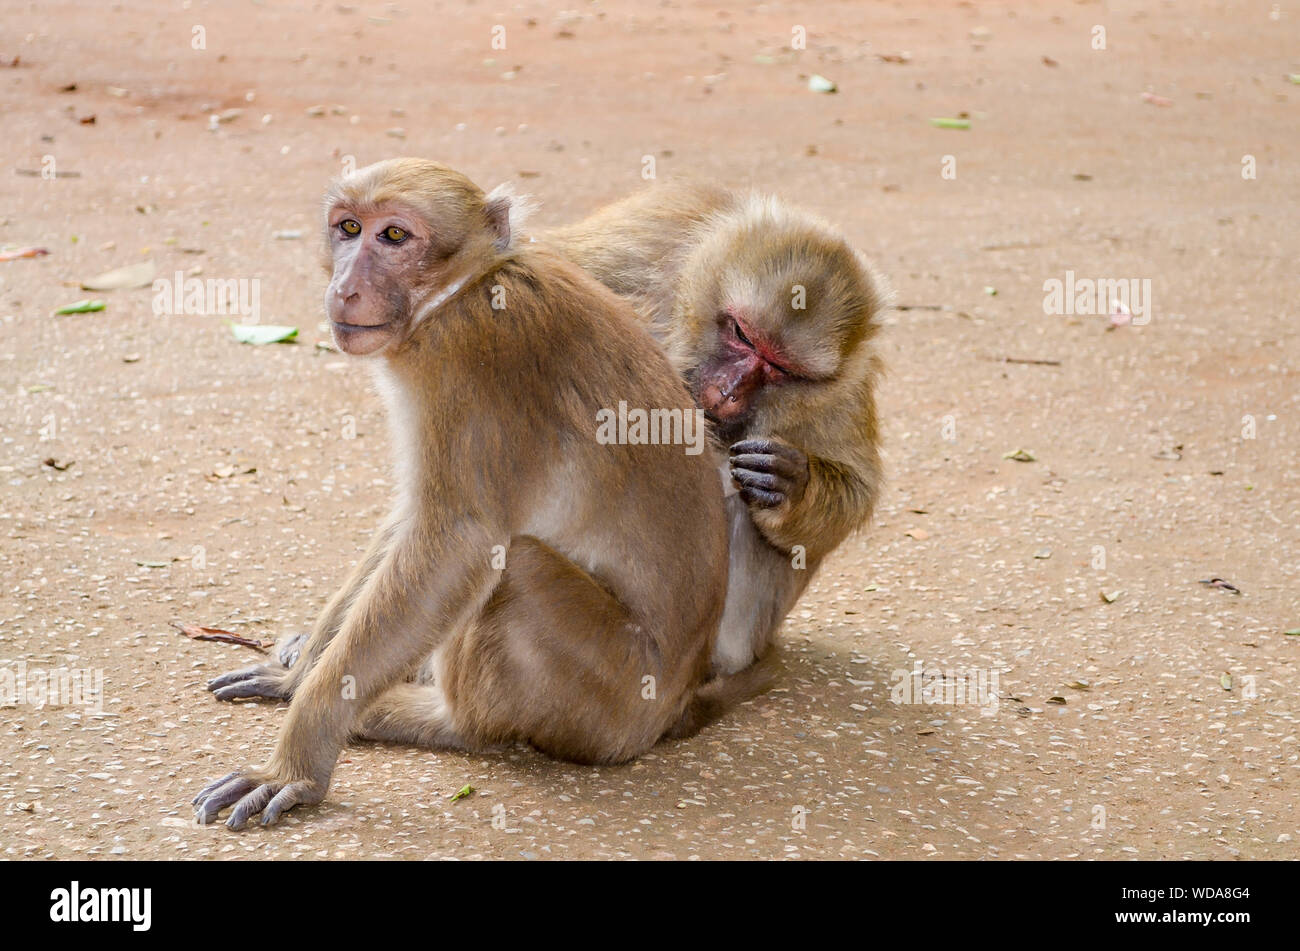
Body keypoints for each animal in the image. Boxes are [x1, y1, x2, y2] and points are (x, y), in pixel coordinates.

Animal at [193, 159, 765, 829]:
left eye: (394, 236)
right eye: (349, 227)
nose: (345, 287)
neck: (464, 289)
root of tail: (672, 704)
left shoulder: (465, 360)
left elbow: (455, 543)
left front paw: (297, 762)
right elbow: (410, 519)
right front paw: (296, 679)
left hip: (609, 693)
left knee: (513, 567)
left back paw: (439, 722)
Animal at [543, 182, 887, 677]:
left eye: (779, 367)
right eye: (743, 335)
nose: (729, 390)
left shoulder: (846, 383)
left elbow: (855, 488)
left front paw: (792, 486)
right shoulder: (651, 231)